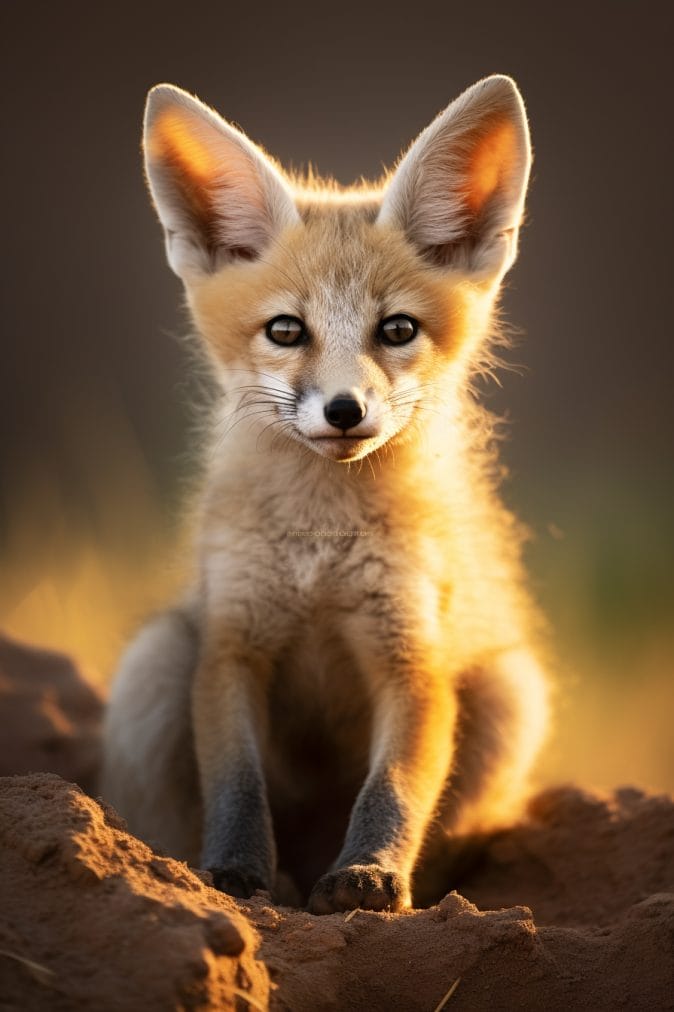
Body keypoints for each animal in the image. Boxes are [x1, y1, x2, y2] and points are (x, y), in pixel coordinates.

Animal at [101, 74, 550, 914]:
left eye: (397, 329)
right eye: (286, 330)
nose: (345, 410)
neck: (321, 547)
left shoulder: (412, 658)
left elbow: (395, 789)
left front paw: (369, 875)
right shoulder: (232, 644)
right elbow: (236, 786)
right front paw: (234, 875)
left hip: (513, 692)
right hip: (155, 658)